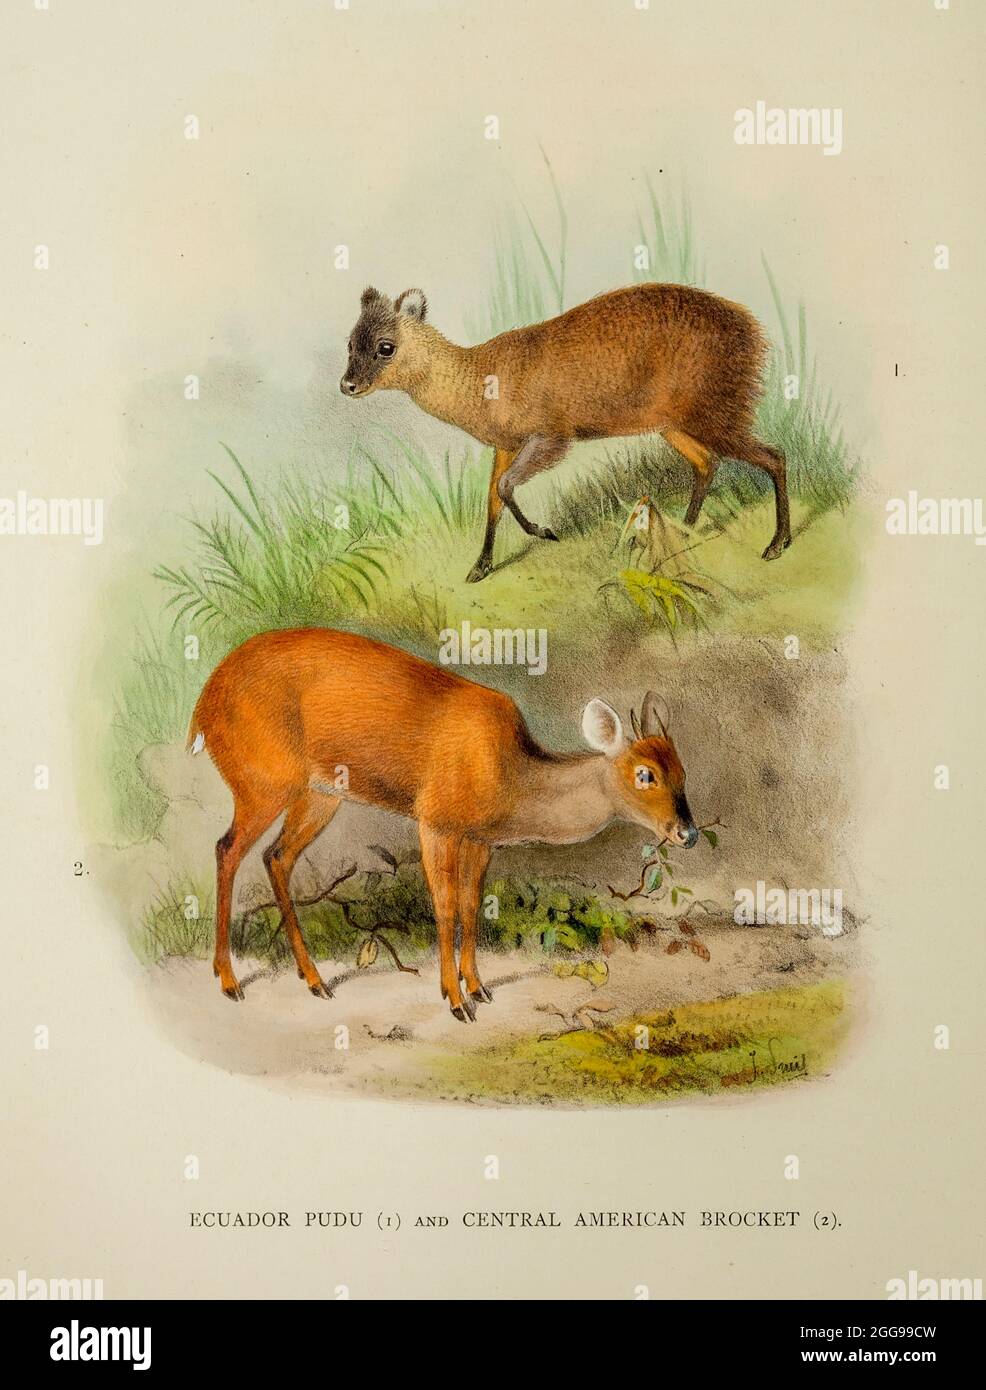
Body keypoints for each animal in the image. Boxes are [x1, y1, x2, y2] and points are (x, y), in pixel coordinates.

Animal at [188, 627, 697, 1022]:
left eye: (682, 771)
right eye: (644, 774)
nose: (688, 833)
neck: (511, 778)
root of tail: (201, 709)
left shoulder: (479, 837)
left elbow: (471, 906)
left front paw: (479, 987)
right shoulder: (435, 819)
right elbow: (446, 906)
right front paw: (454, 1001)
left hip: (320, 794)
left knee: (276, 856)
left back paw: (313, 979)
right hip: (264, 780)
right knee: (227, 848)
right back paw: (229, 980)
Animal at [341, 283, 791, 583]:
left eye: (385, 346)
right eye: (350, 343)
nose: (347, 385)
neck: (480, 381)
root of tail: (756, 333)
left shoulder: (553, 435)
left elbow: (504, 488)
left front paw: (545, 531)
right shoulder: (505, 445)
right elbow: (491, 500)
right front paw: (480, 567)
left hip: (716, 410)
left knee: (774, 455)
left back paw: (776, 544)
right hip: (673, 422)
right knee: (707, 462)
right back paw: (682, 531)